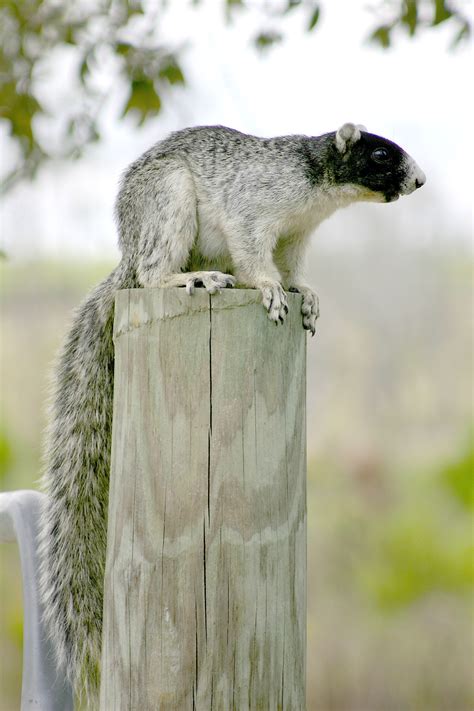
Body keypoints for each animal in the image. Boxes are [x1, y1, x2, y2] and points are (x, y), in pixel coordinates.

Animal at [38, 123, 425, 705]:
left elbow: (292, 269)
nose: (420, 180)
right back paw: (190, 280)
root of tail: (125, 253)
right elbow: (256, 258)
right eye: (380, 153)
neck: (317, 188)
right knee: (151, 273)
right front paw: (269, 290)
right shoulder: (254, 213)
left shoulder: (295, 237)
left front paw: (305, 294)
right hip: (168, 205)